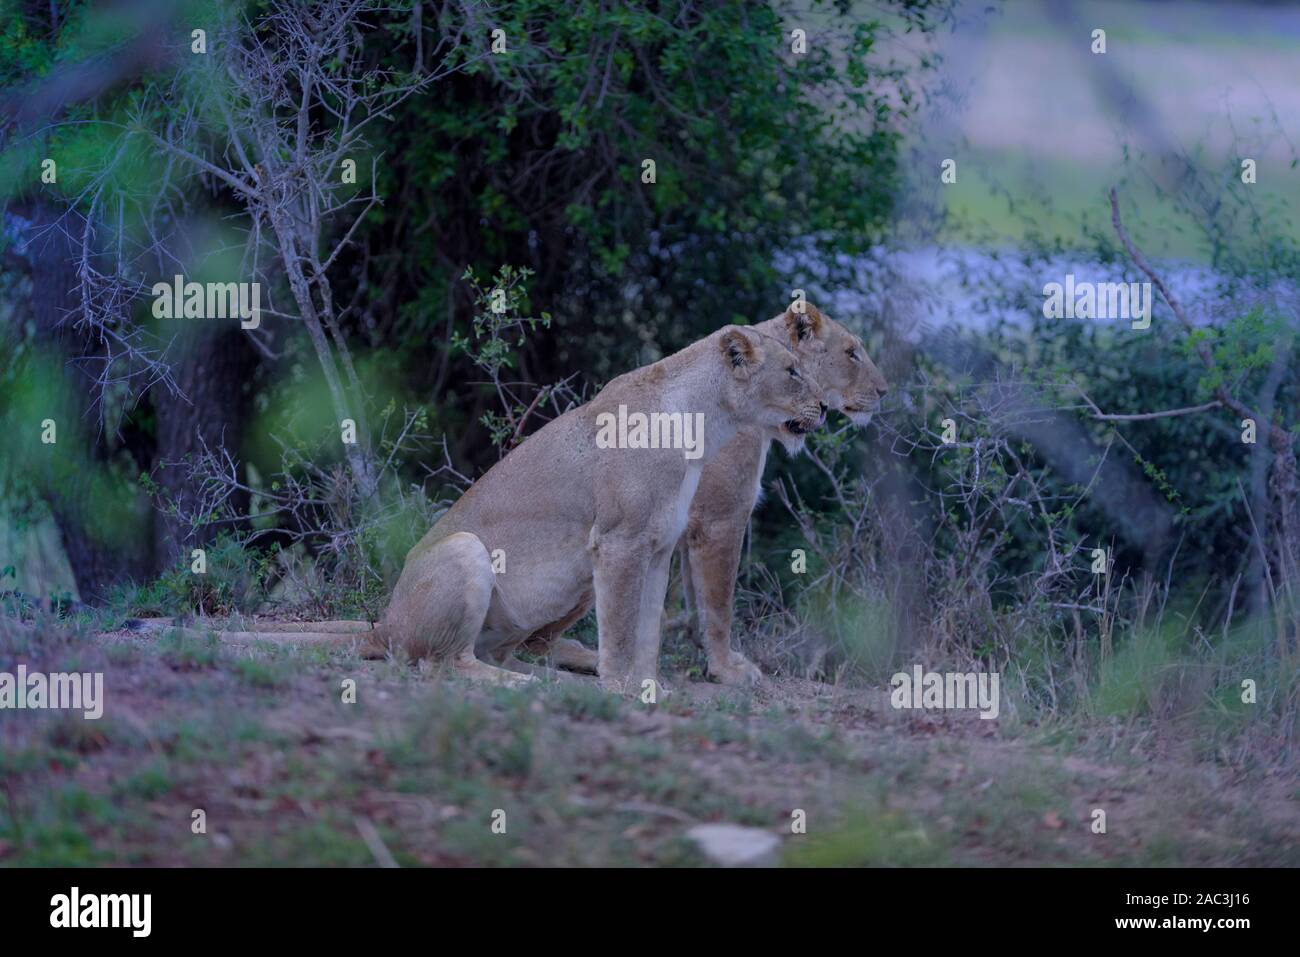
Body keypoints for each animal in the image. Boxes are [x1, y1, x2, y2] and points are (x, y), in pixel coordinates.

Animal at [196, 325, 827, 693]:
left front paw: (648, 687)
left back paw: (539, 674)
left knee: (499, 650)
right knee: (440, 665)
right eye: (792, 371)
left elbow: (646, 628)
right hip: (468, 552)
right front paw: (622, 689)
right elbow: (623, 629)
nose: (823, 406)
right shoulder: (618, 542)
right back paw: (521, 685)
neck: (704, 423)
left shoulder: (656, 548)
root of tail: (386, 623)